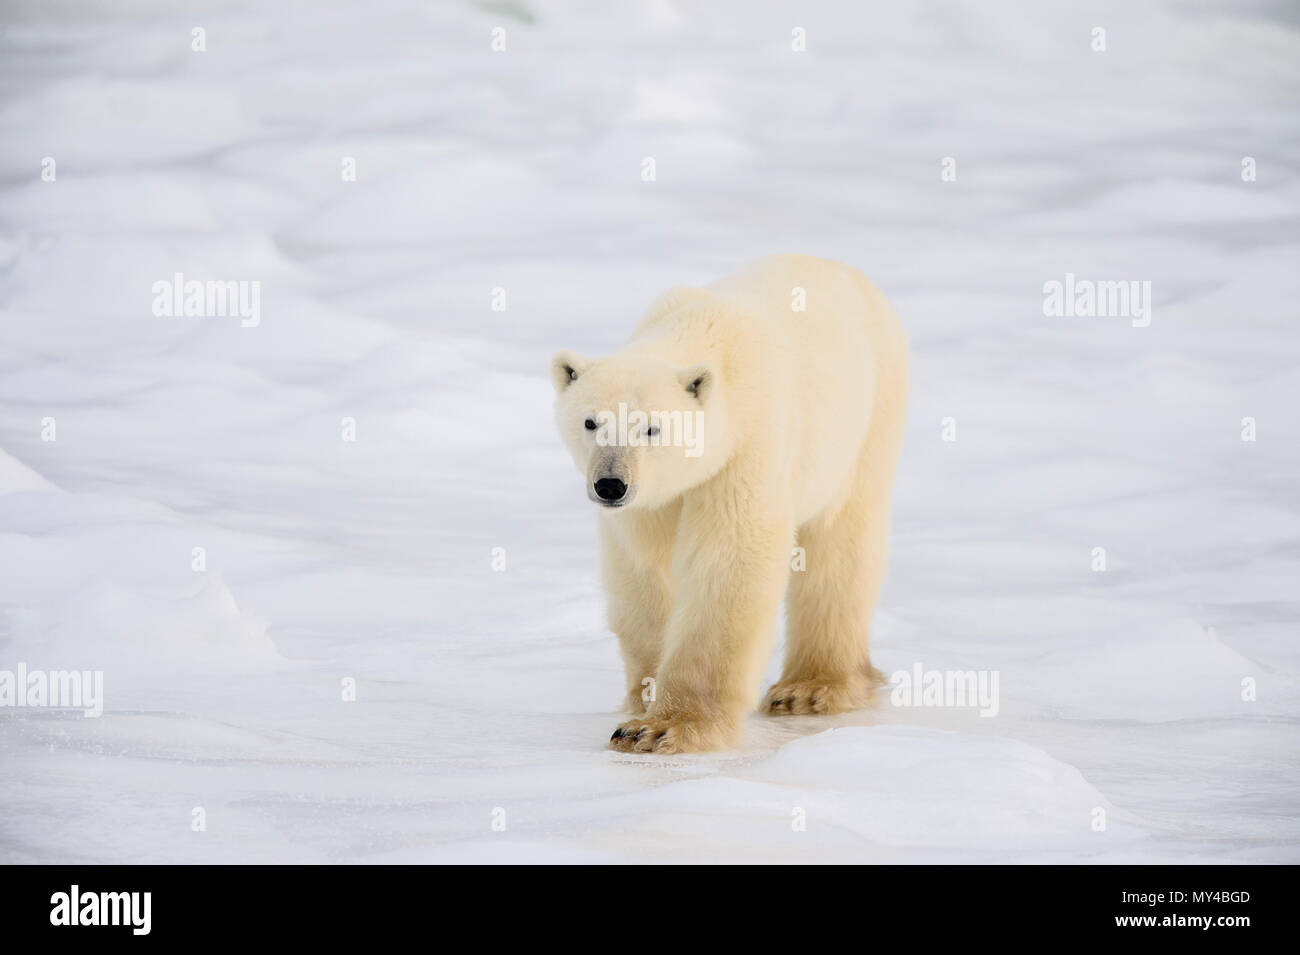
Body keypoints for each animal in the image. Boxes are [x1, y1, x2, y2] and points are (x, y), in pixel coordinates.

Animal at [551, 254, 908, 753]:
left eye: (652, 427)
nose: (610, 485)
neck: (701, 329)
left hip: (867, 418)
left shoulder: (746, 449)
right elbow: (643, 570)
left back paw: (811, 688)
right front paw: (642, 697)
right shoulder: (649, 505)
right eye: (591, 422)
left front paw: (661, 727)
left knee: (840, 545)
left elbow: (728, 563)